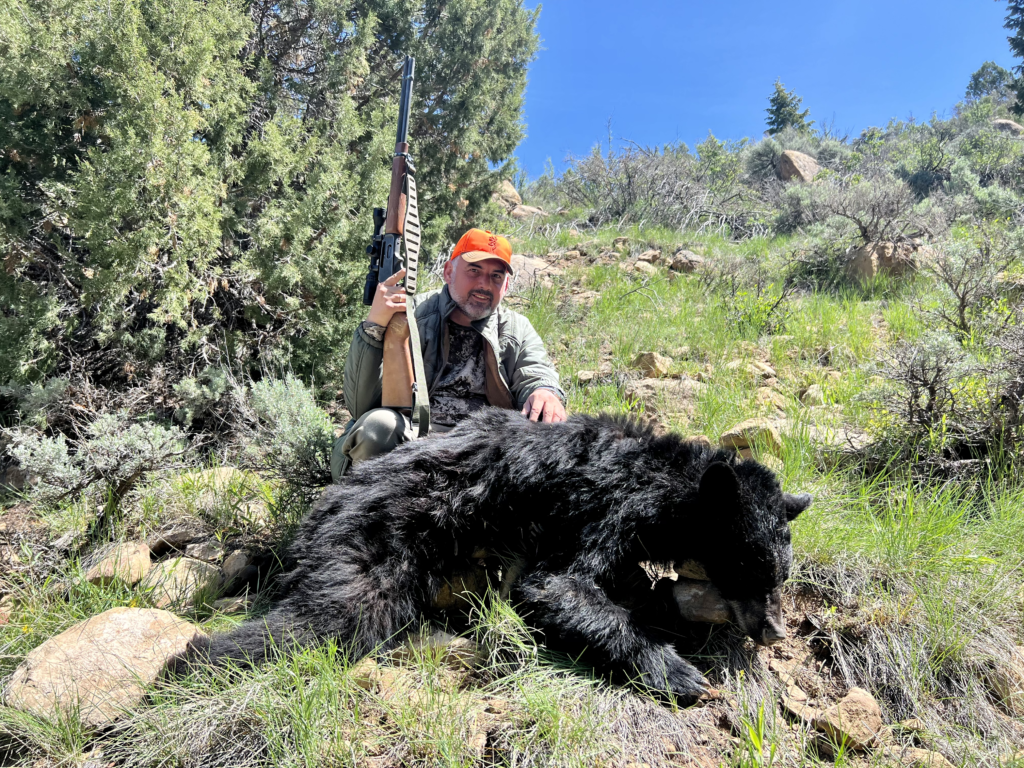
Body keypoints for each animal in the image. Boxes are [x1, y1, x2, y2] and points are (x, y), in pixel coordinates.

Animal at [182, 409, 811, 705]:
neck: (665, 485)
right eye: (750, 567)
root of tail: (335, 494)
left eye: (780, 575)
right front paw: (678, 671)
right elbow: (554, 587)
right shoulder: (603, 509)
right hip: (382, 535)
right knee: (325, 616)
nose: (775, 631)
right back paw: (195, 658)